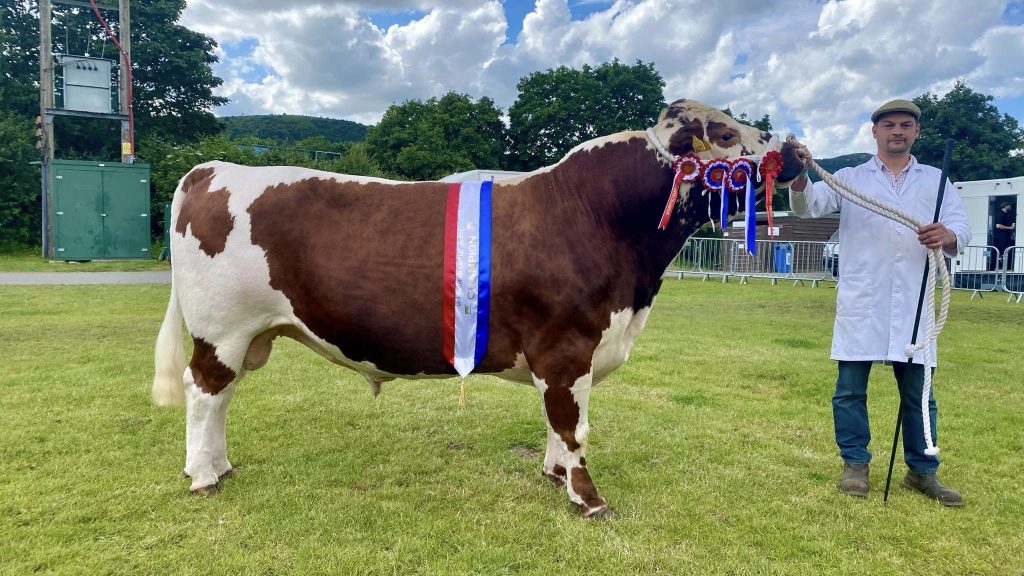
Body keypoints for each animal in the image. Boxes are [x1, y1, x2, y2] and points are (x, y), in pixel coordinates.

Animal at [153, 99, 804, 518]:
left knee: (219, 397)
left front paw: (554, 477)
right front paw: (588, 499)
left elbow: (556, 422)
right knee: (204, 392)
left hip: (241, 333)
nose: (794, 150)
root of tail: (211, 169)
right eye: (725, 136)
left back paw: (218, 466)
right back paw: (204, 475)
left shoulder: (567, 356)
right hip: (222, 329)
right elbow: (573, 424)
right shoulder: (568, 347)